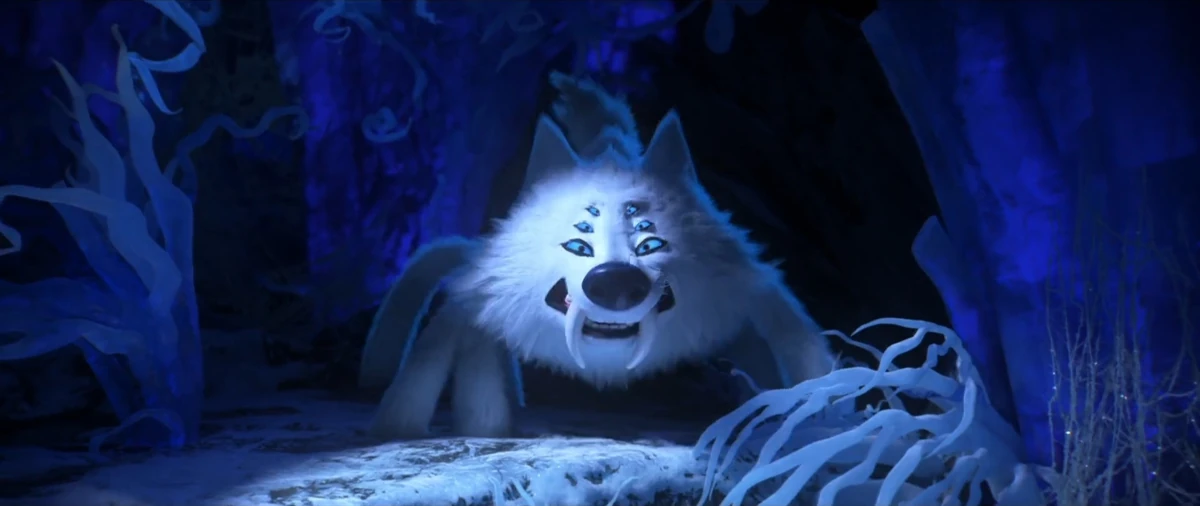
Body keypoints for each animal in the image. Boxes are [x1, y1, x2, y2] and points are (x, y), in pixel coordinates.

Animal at [359, 73, 834, 439]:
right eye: (577, 244)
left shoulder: (745, 297)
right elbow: (456, 363)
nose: (615, 280)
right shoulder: (479, 303)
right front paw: (418, 426)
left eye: (651, 243)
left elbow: (801, 348)